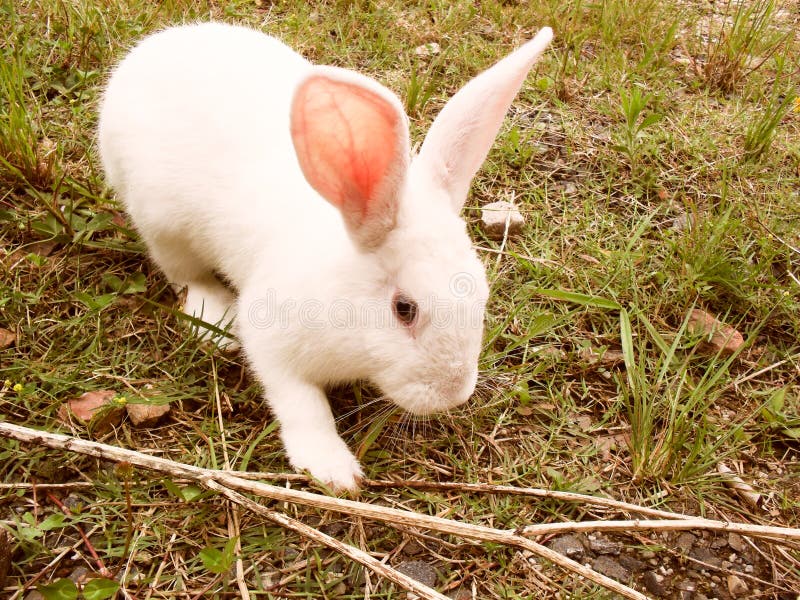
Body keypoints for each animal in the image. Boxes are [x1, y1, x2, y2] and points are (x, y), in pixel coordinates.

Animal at [98, 22, 553, 490]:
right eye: (404, 309)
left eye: (482, 294)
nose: (454, 393)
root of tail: (149, 50)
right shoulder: (271, 342)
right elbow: (302, 404)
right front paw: (333, 470)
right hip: (161, 225)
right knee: (184, 273)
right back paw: (214, 318)